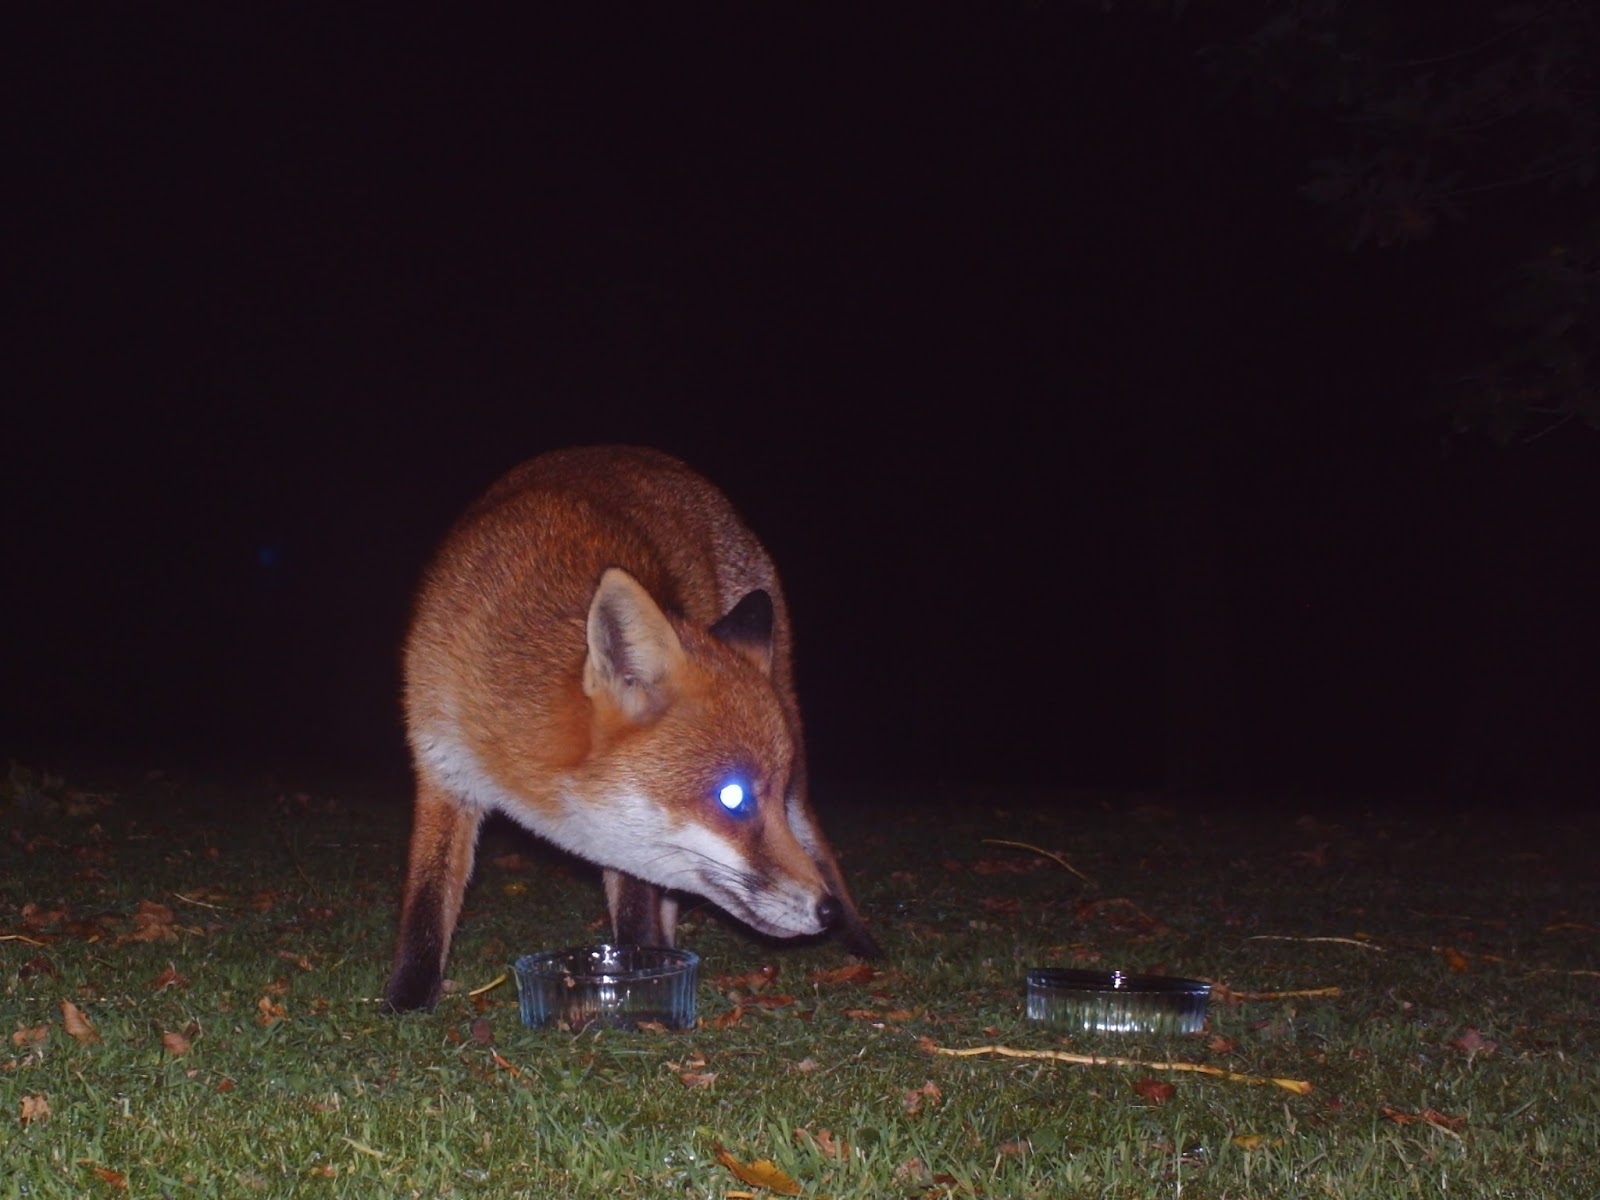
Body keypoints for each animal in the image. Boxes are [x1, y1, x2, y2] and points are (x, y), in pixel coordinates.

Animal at [383, 445, 879, 1012]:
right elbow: (426, 904)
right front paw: (406, 999)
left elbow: (636, 911)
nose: (826, 912)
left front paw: (638, 989)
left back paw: (862, 941)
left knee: (817, 842)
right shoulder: (441, 770)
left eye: (759, 798)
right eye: (732, 798)